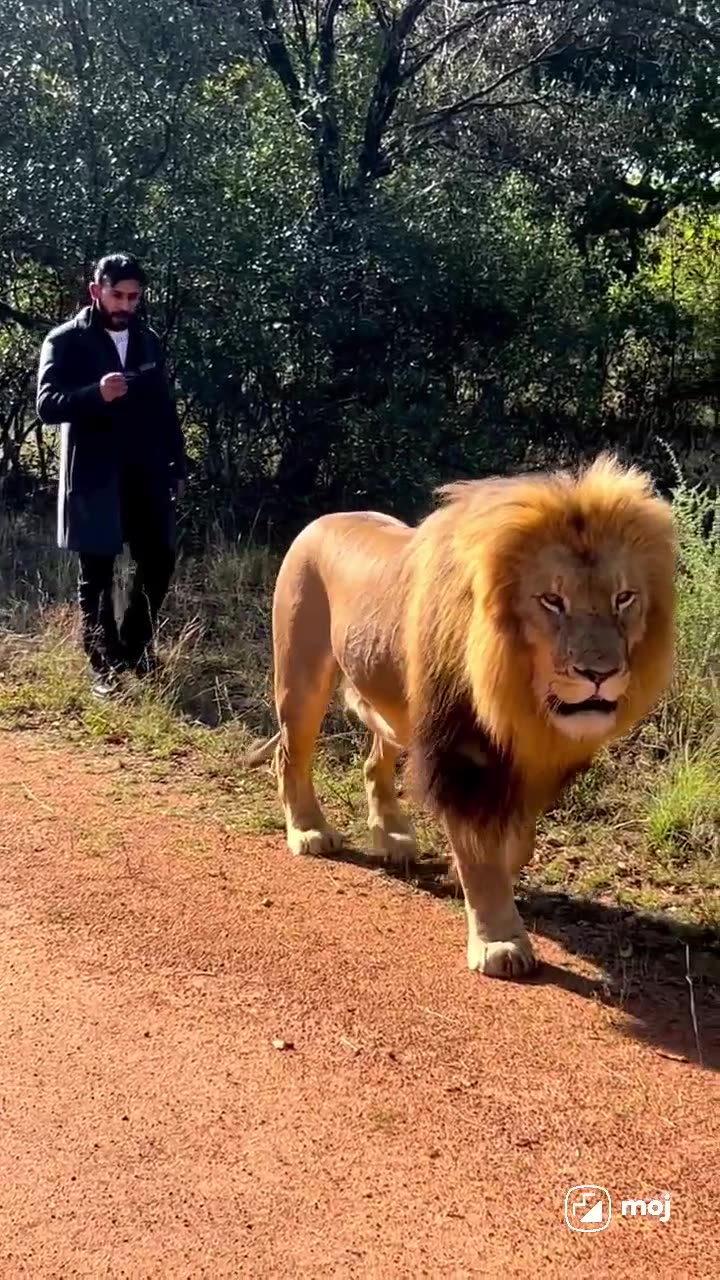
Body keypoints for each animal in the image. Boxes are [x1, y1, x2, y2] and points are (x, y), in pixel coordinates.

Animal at [245, 454, 676, 980]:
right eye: (552, 601)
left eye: (624, 598)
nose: (601, 674)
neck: (518, 699)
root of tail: (322, 520)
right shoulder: (462, 753)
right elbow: (481, 853)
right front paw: (500, 941)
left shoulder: (530, 761)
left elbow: (520, 840)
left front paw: (466, 873)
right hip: (303, 678)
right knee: (291, 755)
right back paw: (310, 831)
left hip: (396, 700)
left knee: (372, 762)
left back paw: (391, 835)